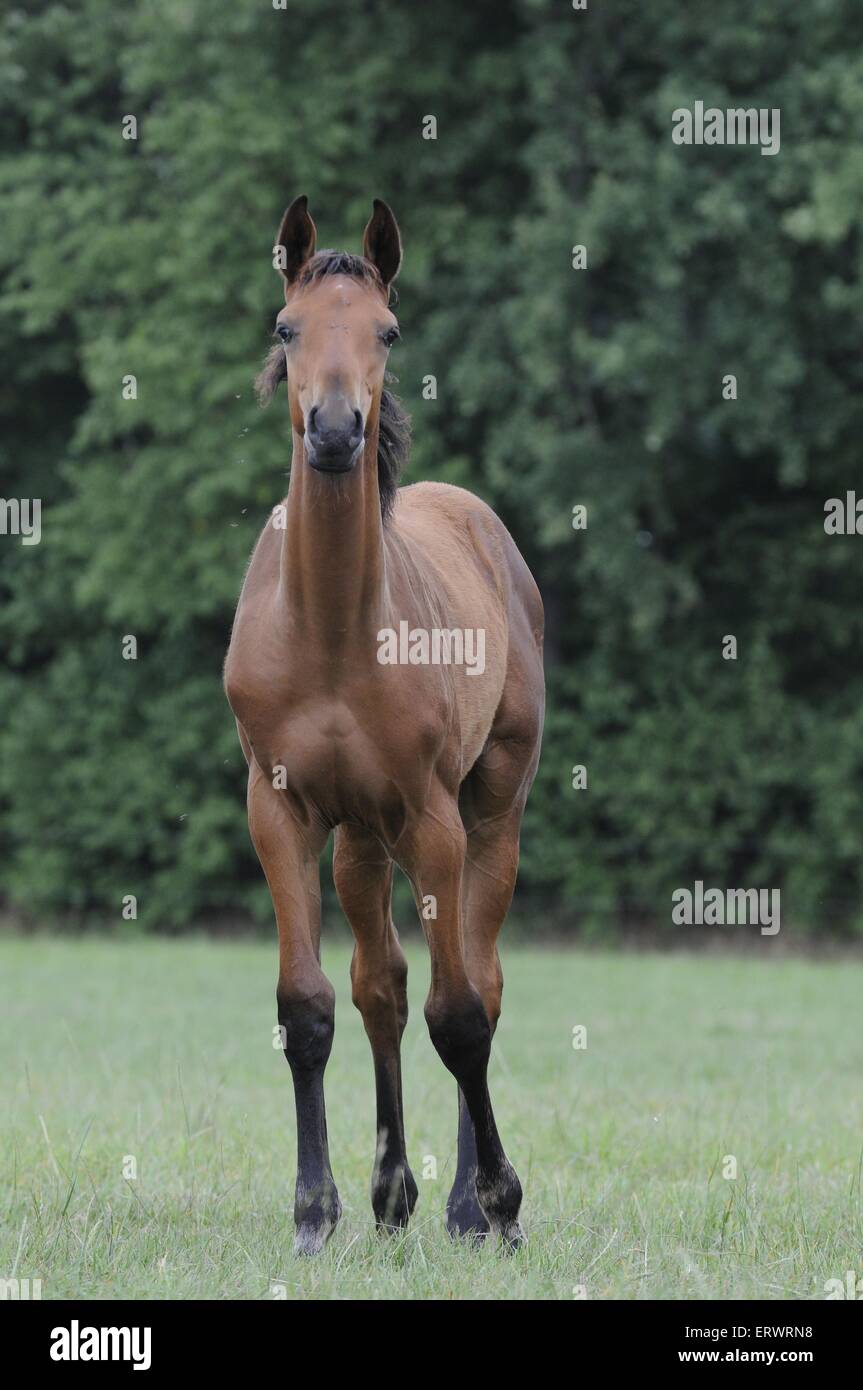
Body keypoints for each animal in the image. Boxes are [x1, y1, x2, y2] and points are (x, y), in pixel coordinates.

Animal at [224, 196, 544, 1254]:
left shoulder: (433, 821)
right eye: (287, 328)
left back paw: (461, 1207)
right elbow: (311, 1006)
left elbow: (461, 1015)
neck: (329, 630)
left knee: (477, 980)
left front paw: (498, 1204)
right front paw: (315, 1213)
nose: (334, 429)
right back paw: (392, 1197)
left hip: (490, 809)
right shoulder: (278, 813)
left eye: (388, 332)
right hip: (361, 841)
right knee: (381, 988)